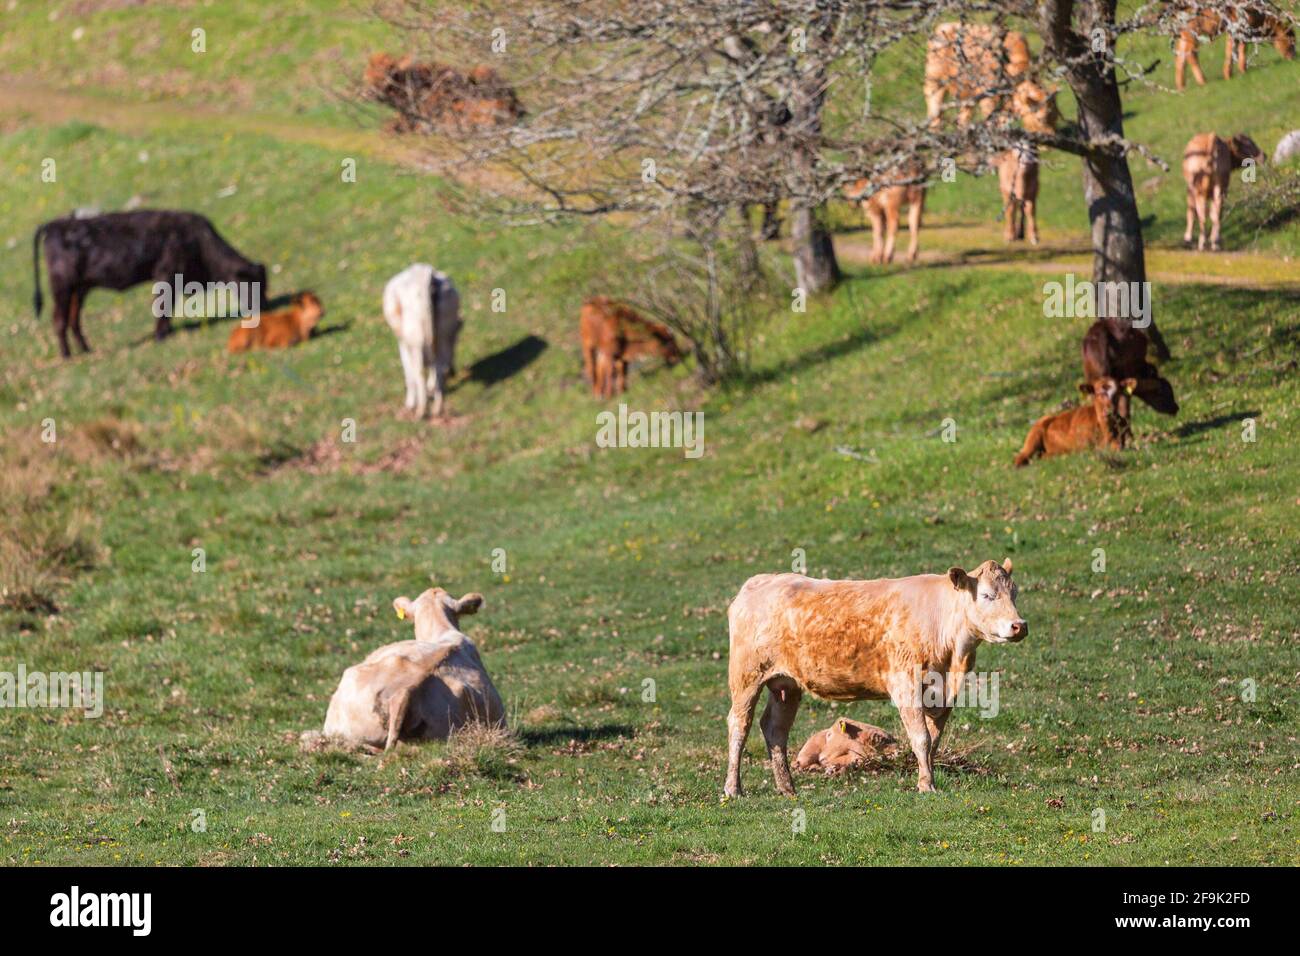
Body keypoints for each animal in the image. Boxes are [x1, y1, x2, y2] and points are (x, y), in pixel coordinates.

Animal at [32, 209, 266, 358]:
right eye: (252, 283)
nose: (263, 306)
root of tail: (54, 225)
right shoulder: (166, 276)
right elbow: (163, 306)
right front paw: (161, 335)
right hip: (62, 288)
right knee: (60, 320)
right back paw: (66, 355)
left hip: (79, 289)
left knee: (74, 320)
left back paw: (86, 350)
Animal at [382, 264, 463, 419]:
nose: (453, 372)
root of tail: (424, 272)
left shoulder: (403, 343)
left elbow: (408, 372)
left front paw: (409, 404)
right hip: (442, 333)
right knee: (438, 366)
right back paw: (437, 407)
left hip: (415, 340)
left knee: (419, 373)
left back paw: (421, 410)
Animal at [723, 559, 1027, 796]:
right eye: (987, 595)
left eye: (1014, 593)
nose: (1019, 626)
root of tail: (760, 581)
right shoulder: (905, 684)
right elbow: (921, 738)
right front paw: (926, 786)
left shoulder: (943, 695)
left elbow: (933, 740)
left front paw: (926, 777)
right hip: (746, 675)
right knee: (739, 725)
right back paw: (733, 788)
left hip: (786, 685)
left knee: (775, 729)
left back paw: (787, 789)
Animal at [924, 23, 1058, 134]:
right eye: (1040, 119)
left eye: (1055, 117)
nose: (1051, 136)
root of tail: (942, 26)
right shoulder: (988, 97)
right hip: (934, 81)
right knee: (934, 110)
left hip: (967, 92)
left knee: (963, 118)